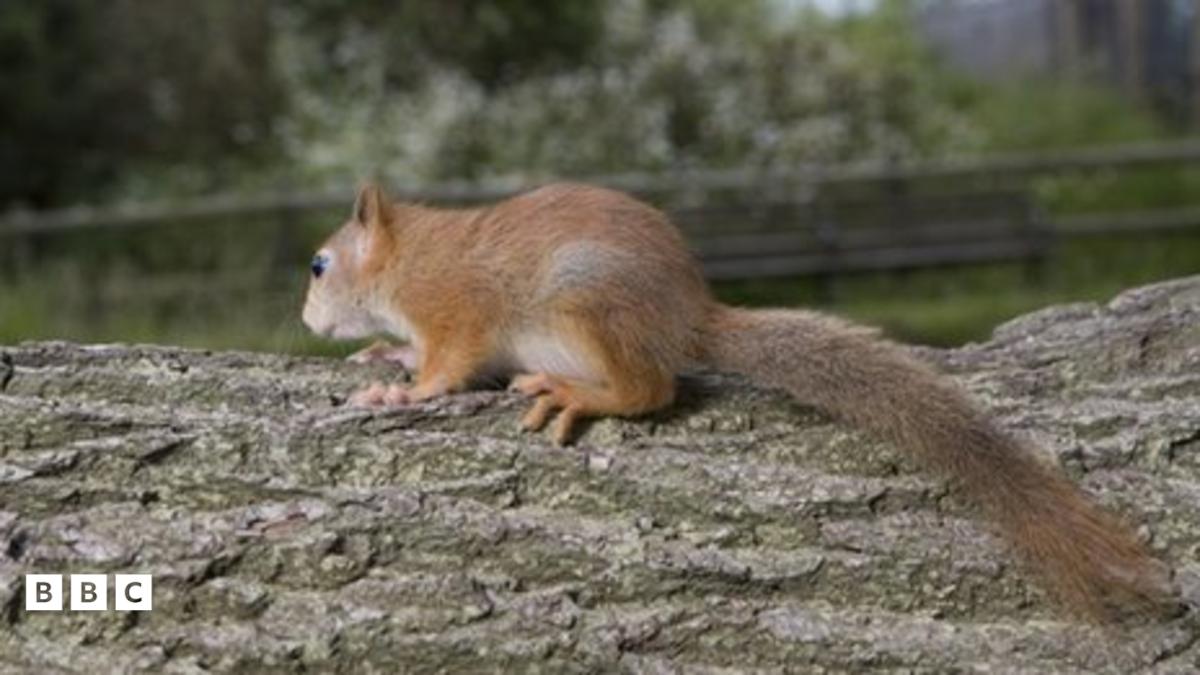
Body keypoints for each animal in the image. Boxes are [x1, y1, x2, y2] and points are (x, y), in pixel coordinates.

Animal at [302, 181, 1176, 622]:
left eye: (318, 265)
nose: (306, 320)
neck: (408, 259)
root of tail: (689, 315)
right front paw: (383, 352)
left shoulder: (458, 312)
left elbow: (448, 366)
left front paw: (400, 385)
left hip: (588, 304)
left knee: (652, 390)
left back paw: (576, 391)